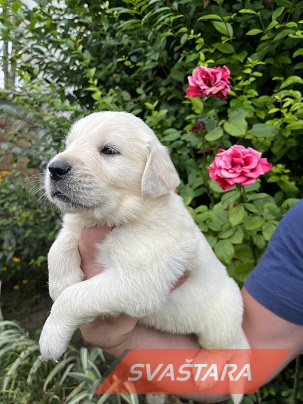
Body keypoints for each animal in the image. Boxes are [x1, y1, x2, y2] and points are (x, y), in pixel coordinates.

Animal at [39, 111, 249, 404]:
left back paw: (205, 369)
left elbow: (73, 298)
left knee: (222, 349)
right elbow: (60, 244)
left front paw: (51, 337)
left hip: (221, 321)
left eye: (109, 150)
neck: (117, 220)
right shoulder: (78, 226)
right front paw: (61, 282)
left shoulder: (137, 281)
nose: (54, 168)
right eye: (68, 145)